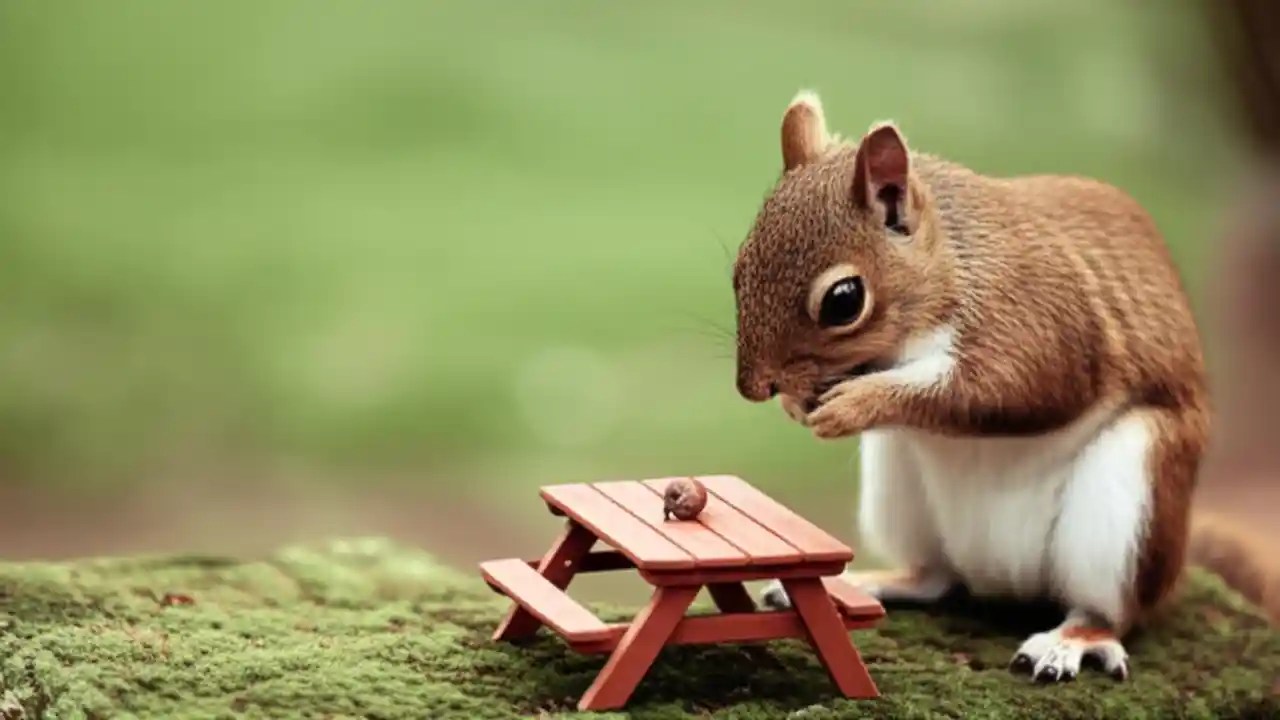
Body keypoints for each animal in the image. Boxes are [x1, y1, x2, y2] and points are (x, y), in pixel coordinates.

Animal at [731, 90, 1279, 684]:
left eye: (843, 300)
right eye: (739, 269)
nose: (753, 388)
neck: (949, 265)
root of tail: (1002, 577)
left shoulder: (1035, 317)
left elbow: (1010, 390)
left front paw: (856, 403)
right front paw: (797, 402)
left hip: (1129, 504)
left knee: (1112, 610)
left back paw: (1073, 640)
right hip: (898, 493)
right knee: (935, 577)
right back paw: (863, 582)